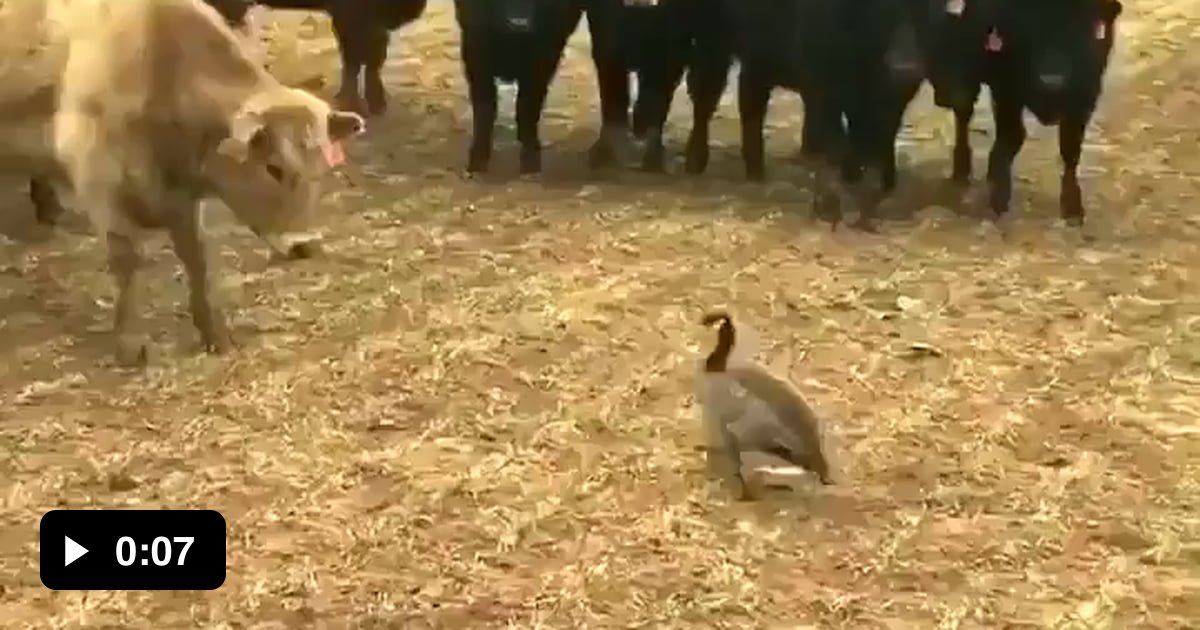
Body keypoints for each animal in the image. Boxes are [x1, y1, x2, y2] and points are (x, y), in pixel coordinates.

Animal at [2, 0, 364, 366]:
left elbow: (197, 257)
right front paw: (130, 344)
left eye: (322, 168)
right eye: (273, 168)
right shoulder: (100, 185)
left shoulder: (183, 199)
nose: (306, 246)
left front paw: (214, 333)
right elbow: (126, 261)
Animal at [453, 0, 586, 175]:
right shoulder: (476, 55)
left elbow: (527, 108)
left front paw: (531, 161)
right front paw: (478, 160)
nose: (519, 24)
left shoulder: (543, 61)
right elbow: (485, 109)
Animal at [720, 0, 936, 231]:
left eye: (928, 7)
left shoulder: (892, 99)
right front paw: (834, 204)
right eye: (882, 8)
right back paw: (757, 174)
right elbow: (837, 139)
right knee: (753, 107)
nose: (906, 67)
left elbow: (878, 135)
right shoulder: (824, 82)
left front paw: (879, 189)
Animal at [928, 0, 1124, 225]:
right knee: (964, 113)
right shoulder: (1006, 89)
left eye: (1081, 27)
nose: (1052, 79)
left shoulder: (1085, 95)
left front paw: (1073, 208)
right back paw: (961, 170)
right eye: (1029, 26)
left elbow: (1070, 150)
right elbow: (1011, 137)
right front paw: (999, 196)